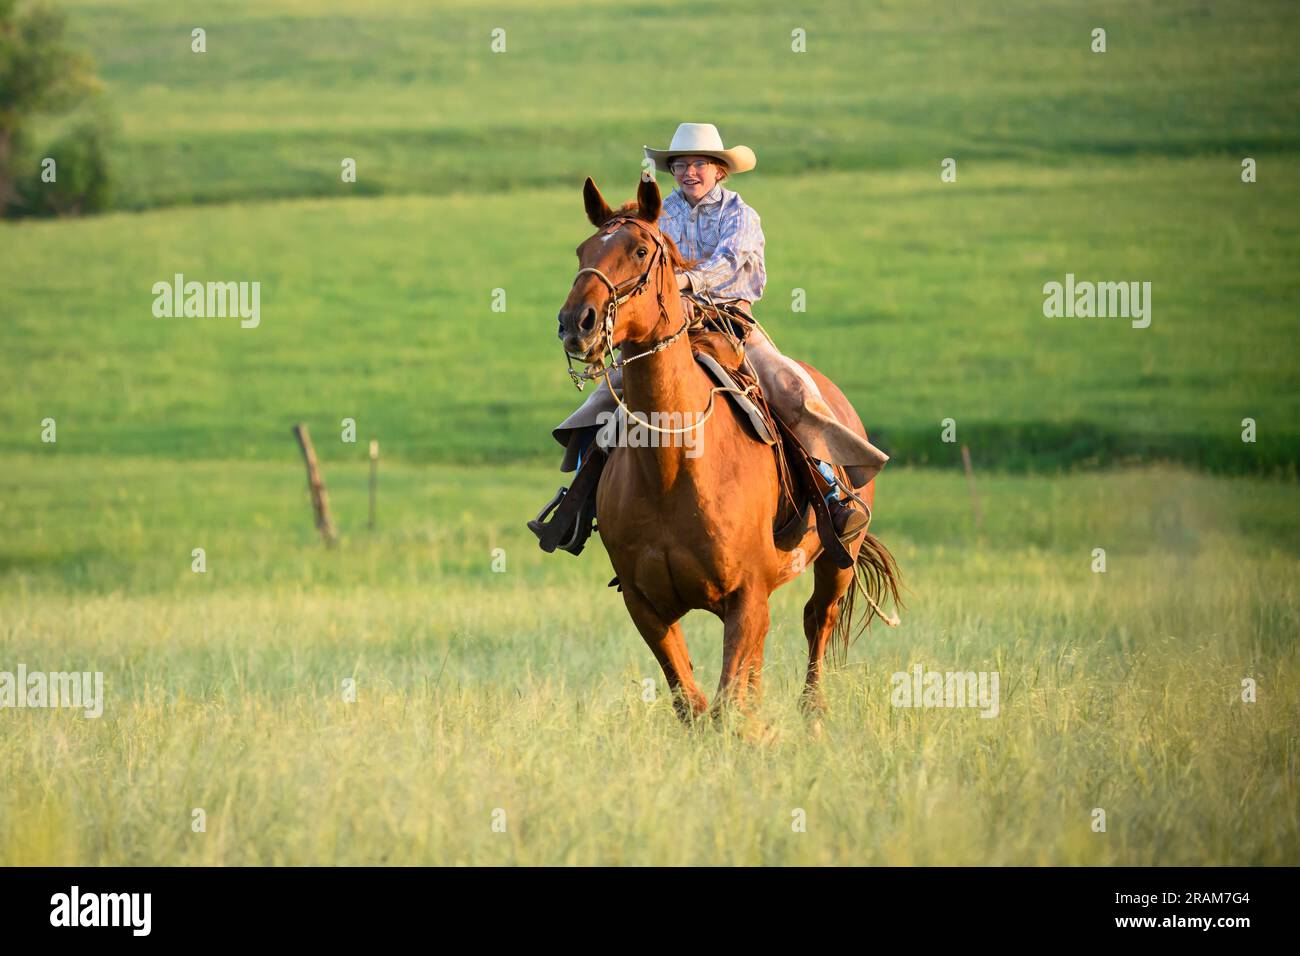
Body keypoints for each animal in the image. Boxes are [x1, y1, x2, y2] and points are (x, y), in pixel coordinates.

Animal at [555, 174, 902, 731]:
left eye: (640, 250)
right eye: (583, 250)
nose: (577, 323)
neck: (674, 466)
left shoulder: (746, 597)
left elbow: (727, 704)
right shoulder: (646, 606)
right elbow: (694, 705)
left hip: (837, 563)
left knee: (817, 621)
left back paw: (814, 714)